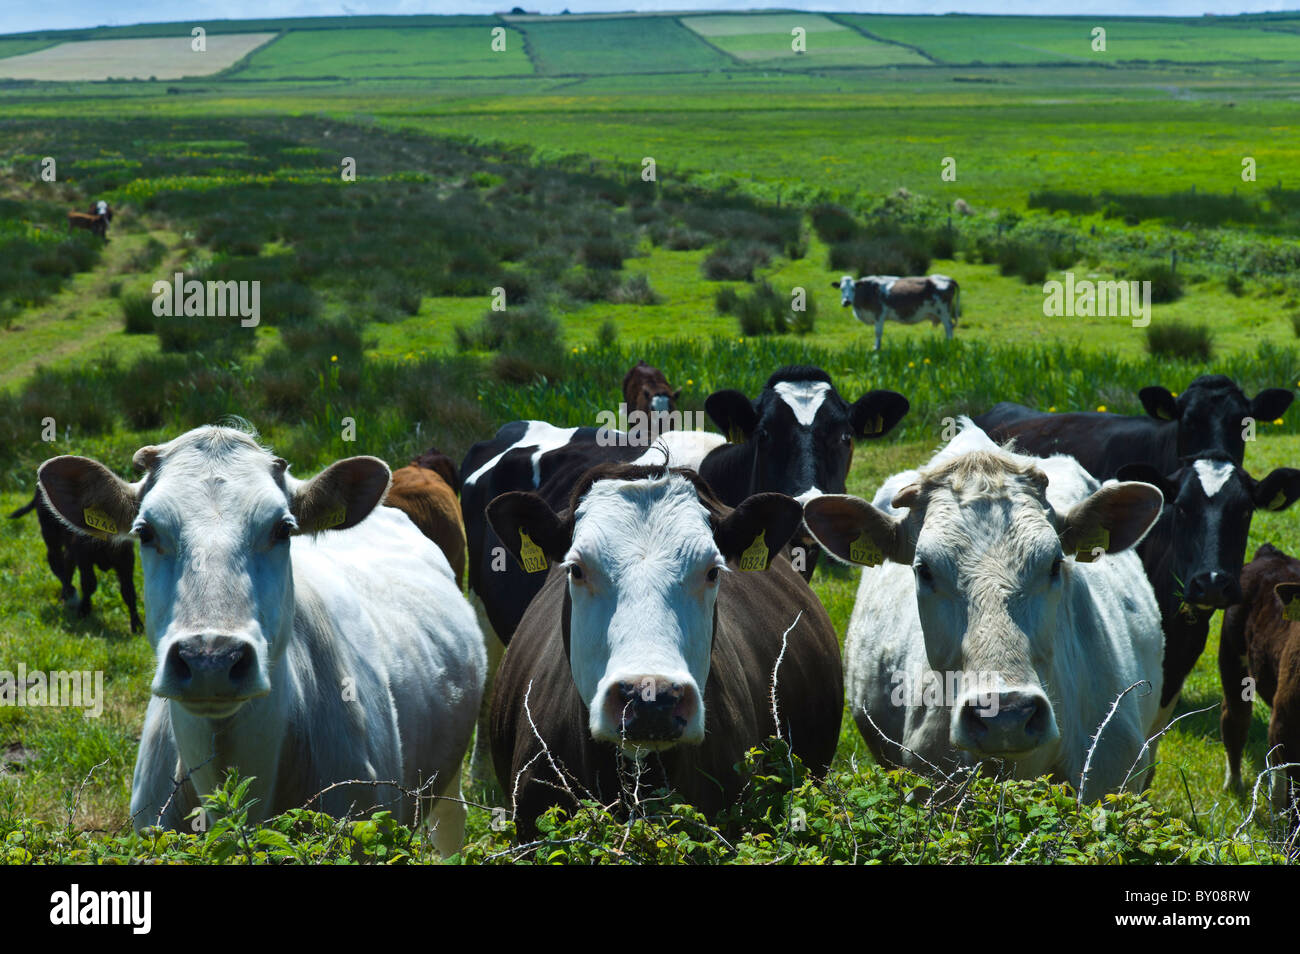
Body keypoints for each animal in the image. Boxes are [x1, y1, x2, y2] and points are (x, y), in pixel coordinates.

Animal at [8, 491, 142, 634]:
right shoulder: (82, 554)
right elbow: (89, 583)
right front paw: (84, 610)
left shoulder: (126, 559)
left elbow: (128, 591)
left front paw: (137, 624)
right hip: (50, 533)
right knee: (55, 561)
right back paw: (71, 593)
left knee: (67, 564)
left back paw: (65, 595)